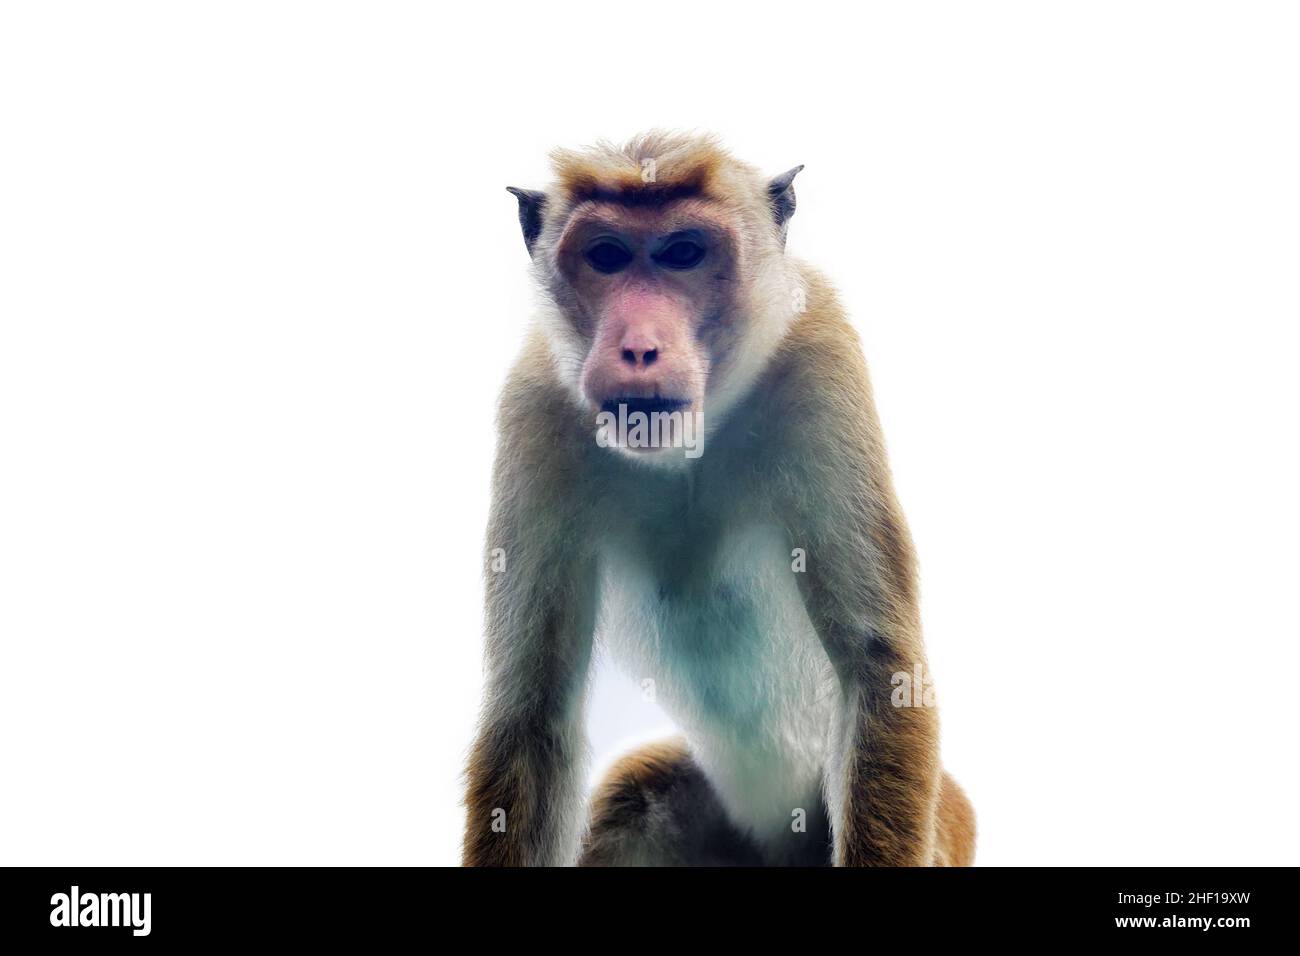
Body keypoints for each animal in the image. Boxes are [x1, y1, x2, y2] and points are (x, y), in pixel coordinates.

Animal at [463, 132, 975, 867]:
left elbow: (877, 667)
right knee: (635, 795)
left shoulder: (821, 357)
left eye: (683, 253)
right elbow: (533, 716)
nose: (638, 348)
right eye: (607, 256)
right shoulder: (536, 405)